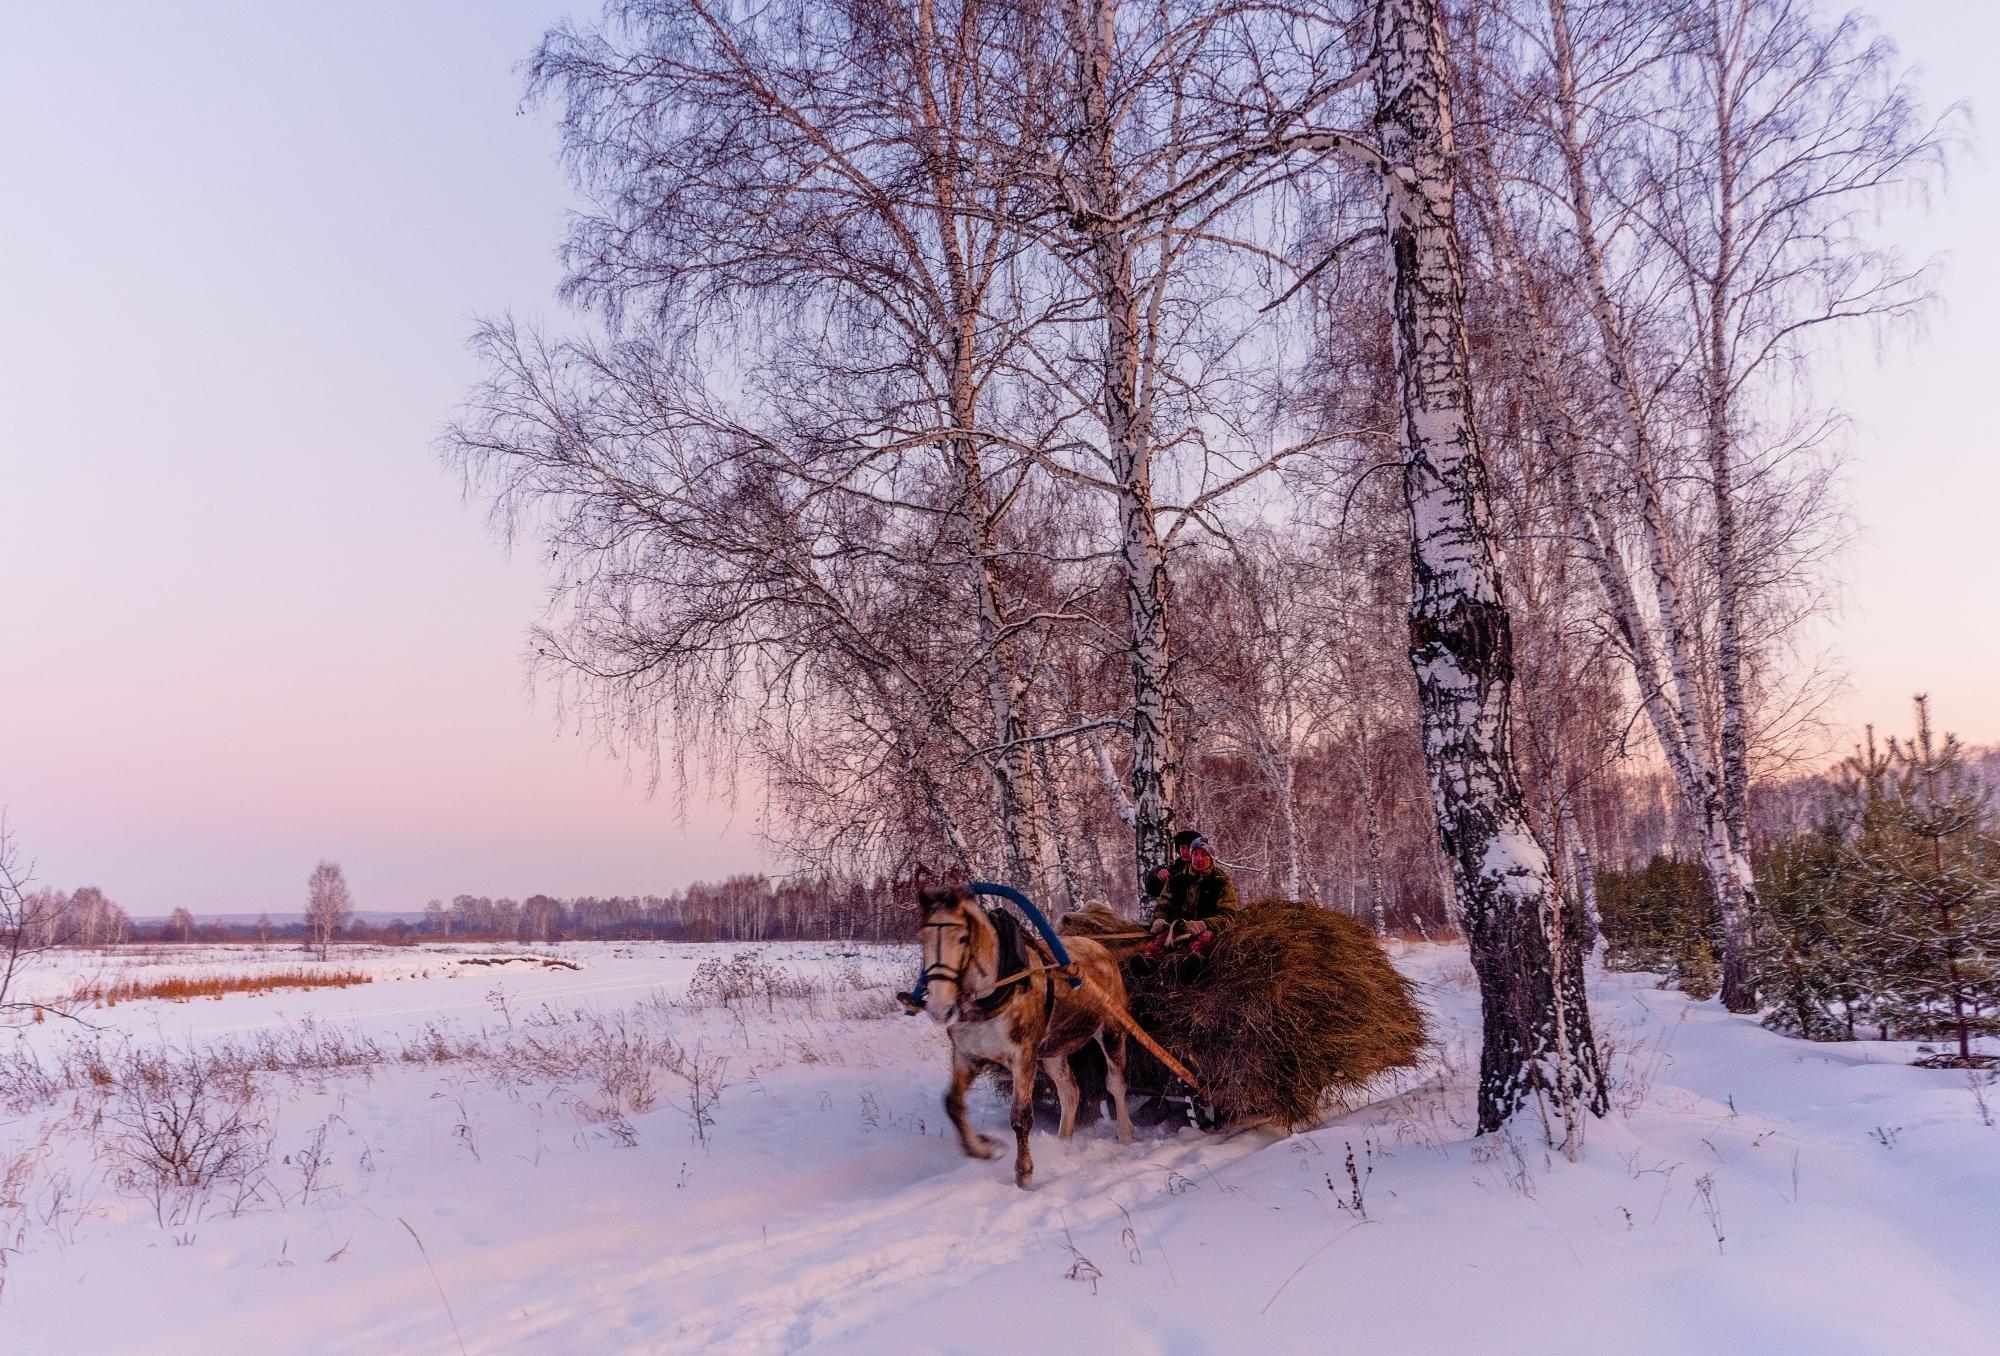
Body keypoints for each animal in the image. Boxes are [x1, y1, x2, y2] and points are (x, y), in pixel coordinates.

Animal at [916, 880, 1136, 1192]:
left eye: (961, 938)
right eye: (921, 937)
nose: (938, 1008)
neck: (993, 991)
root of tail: (1100, 947)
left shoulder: (1023, 1057)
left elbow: (1021, 1118)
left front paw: (1024, 1174)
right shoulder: (967, 1055)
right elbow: (953, 1103)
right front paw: (983, 1148)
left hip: (1112, 1030)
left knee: (1116, 1084)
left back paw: (1125, 1135)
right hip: (1054, 1049)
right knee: (1070, 1092)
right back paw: (1063, 1144)